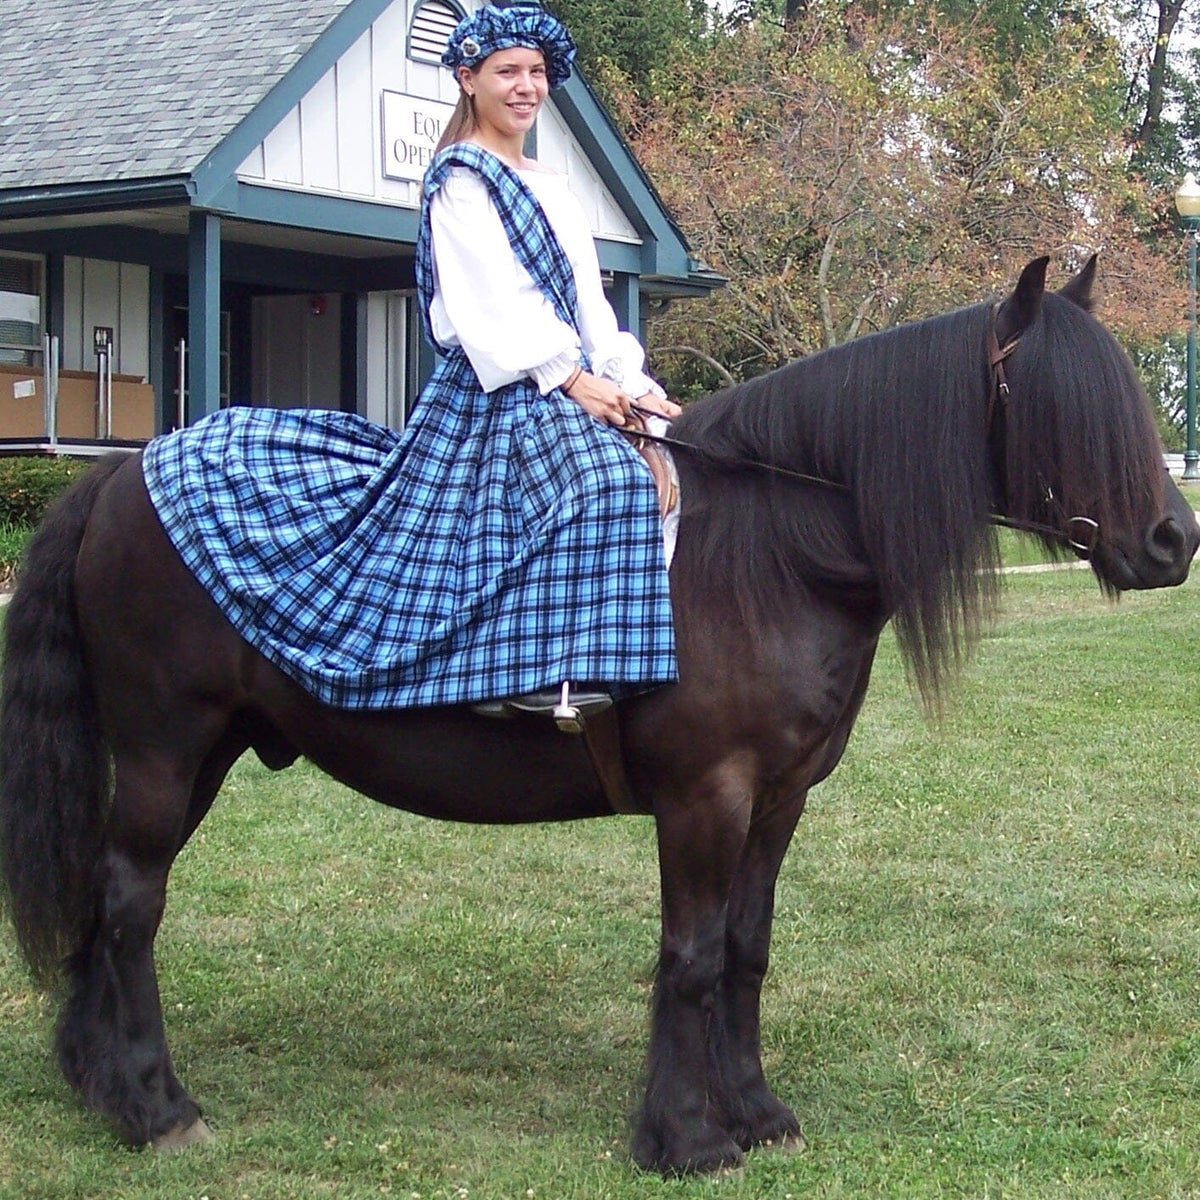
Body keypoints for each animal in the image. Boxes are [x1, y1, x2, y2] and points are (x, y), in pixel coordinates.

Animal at [1, 256, 1195, 1175]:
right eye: (1065, 405)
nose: (1175, 541)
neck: (772, 550)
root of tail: (115, 481)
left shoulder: (778, 802)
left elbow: (748, 949)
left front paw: (756, 1113)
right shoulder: (705, 801)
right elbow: (692, 956)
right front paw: (686, 1137)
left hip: (198, 755)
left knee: (109, 896)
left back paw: (96, 1079)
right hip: (166, 749)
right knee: (131, 903)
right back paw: (156, 1107)